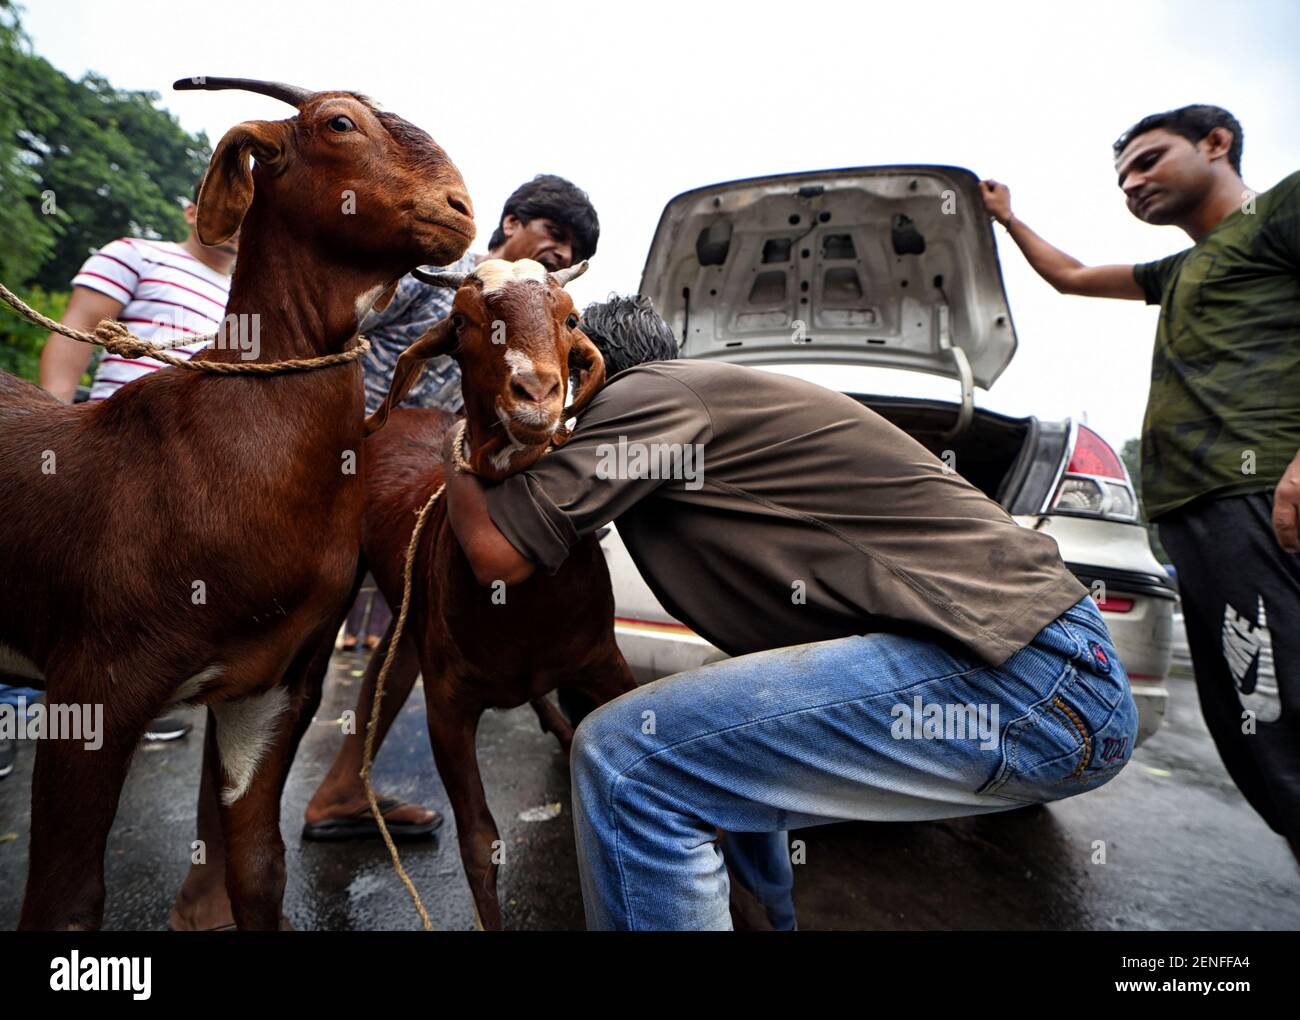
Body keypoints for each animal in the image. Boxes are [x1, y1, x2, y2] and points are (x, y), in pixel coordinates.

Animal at [0, 76, 475, 930]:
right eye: (339, 123)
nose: (459, 208)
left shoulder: (277, 682)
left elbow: (260, 867)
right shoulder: (95, 679)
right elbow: (67, 897)